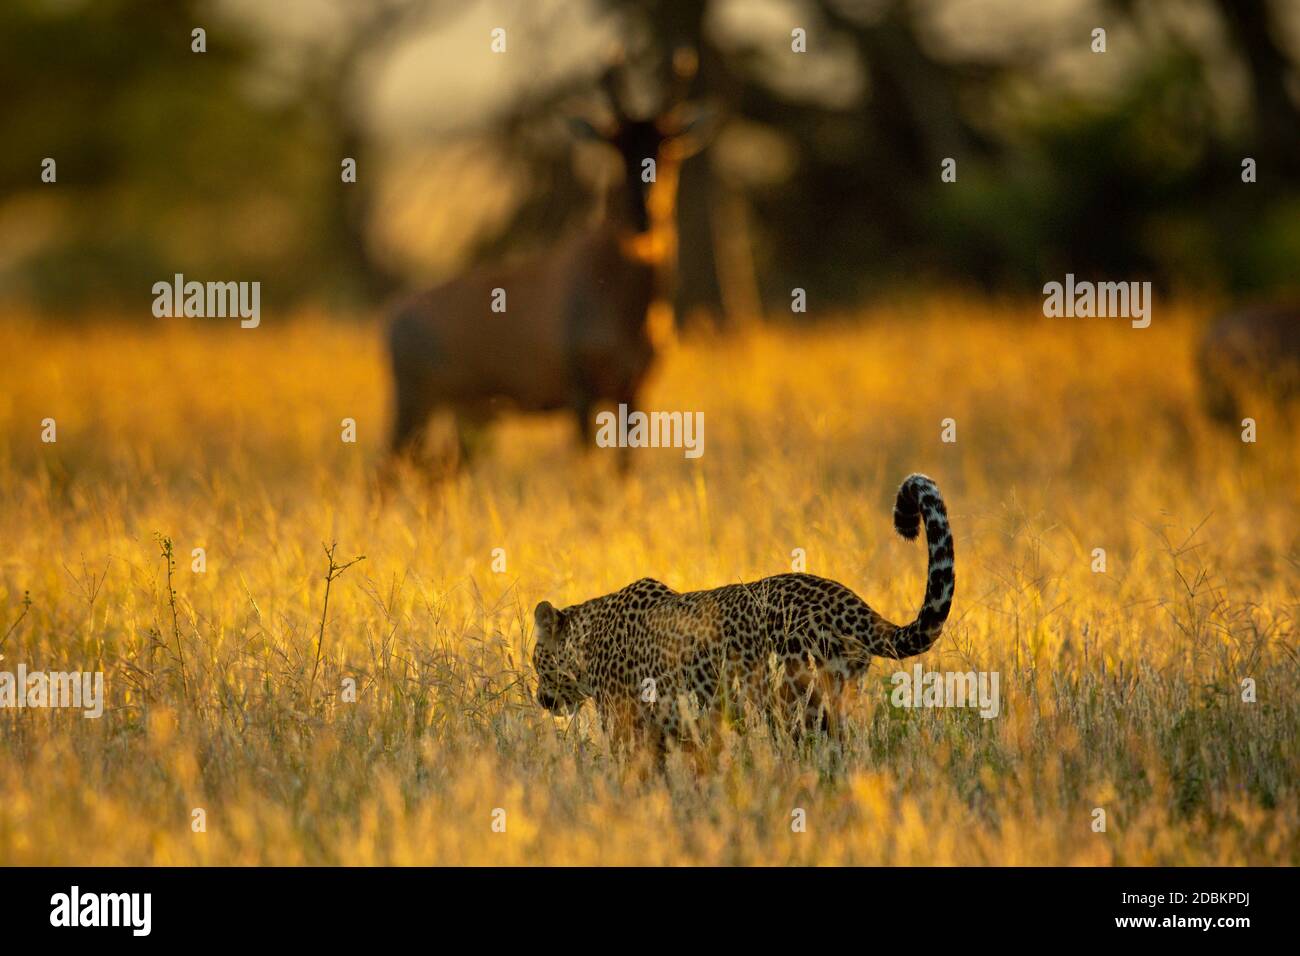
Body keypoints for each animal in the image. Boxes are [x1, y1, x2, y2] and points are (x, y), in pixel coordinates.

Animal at [532, 473, 955, 754]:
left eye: (538, 663)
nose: (540, 699)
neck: (586, 638)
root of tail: (849, 602)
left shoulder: (627, 725)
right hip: (837, 696)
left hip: (791, 700)